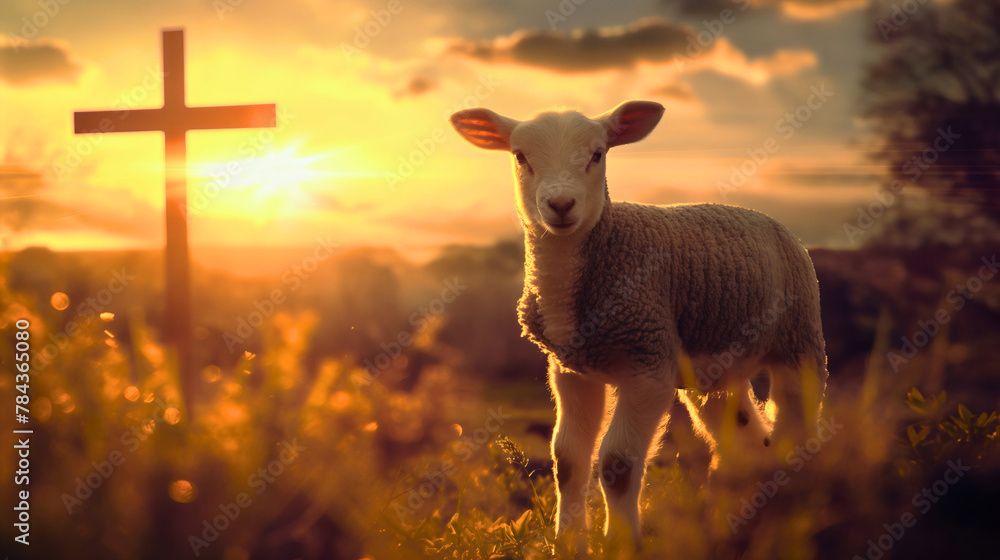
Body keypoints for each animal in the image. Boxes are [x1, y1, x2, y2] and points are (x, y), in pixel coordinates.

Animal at [450, 100, 827, 550]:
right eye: (520, 156)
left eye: (597, 154)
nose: (561, 204)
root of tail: (769, 220)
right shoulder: (571, 370)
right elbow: (568, 460)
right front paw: (569, 544)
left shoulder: (648, 363)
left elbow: (617, 463)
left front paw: (620, 545)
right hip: (714, 372)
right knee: (745, 446)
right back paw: (734, 524)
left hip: (800, 339)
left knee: (795, 434)